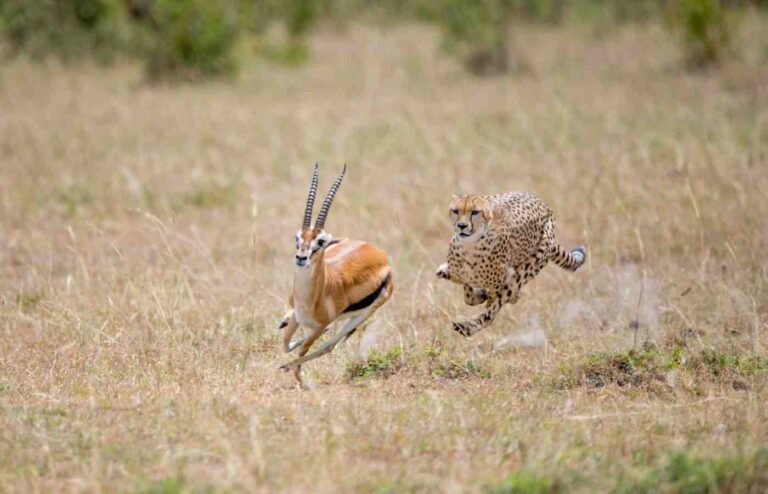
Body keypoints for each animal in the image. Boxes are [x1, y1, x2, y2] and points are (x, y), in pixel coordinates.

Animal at [436, 192, 586, 337]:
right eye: (456, 211)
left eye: (475, 212)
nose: (462, 226)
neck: (470, 246)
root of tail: (543, 204)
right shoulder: (466, 276)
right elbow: (468, 294)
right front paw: (479, 294)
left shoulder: (500, 283)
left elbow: (492, 299)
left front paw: (485, 297)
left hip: (533, 262)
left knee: (494, 311)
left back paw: (467, 328)